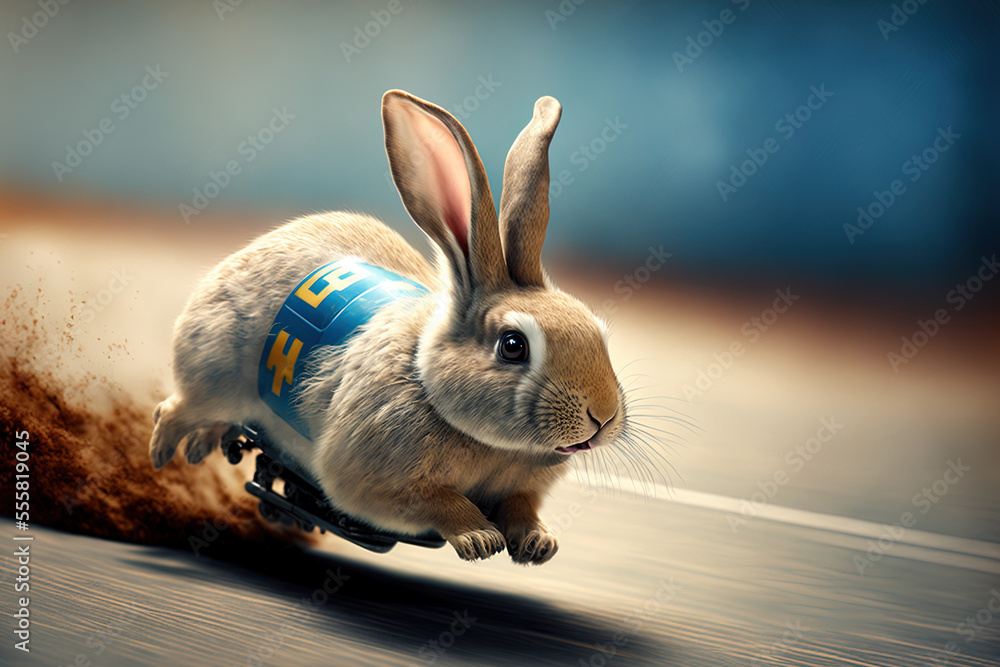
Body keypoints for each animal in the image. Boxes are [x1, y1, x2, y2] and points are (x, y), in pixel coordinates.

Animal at [149, 90, 627, 564]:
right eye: (513, 345)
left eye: (599, 334)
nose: (602, 416)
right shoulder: (377, 480)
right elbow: (438, 501)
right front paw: (478, 539)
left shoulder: (518, 490)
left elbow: (520, 508)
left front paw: (538, 544)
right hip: (213, 376)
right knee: (178, 408)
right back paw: (162, 453)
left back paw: (199, 447)